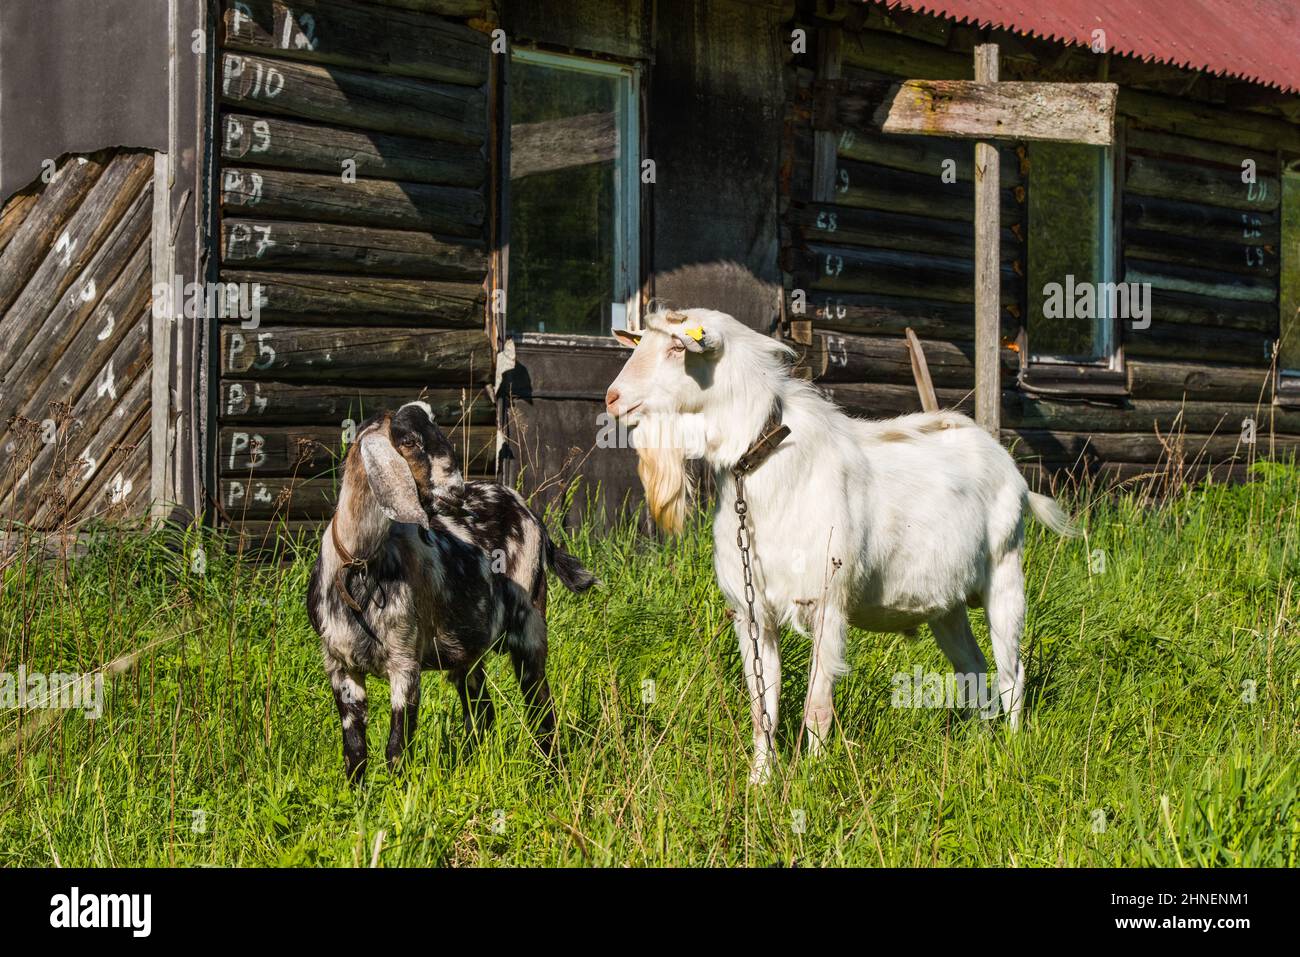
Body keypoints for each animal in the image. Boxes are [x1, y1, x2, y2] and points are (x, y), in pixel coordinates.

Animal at [306, 401, 597, 782]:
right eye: (409, 441)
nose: (458, 491)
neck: (360, 564)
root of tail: (526, 508)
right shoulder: (340, 665)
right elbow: (354, 752)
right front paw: (358, 796)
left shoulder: (405, 660)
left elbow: (396, 749)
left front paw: (398, 794)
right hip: (468, 651)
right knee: (482, 713)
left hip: (530, 626)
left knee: (540, 708)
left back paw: (549, 774)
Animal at [606, 309, 1078, 782]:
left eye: (676, 347)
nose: (612, 398)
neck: (766, 466)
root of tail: (1011, 470)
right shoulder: (751, 611)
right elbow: (762, 705)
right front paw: (760, 780)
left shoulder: (826, 604)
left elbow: (817, 705)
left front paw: (813, 777)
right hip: (948, 605)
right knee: (974, 668)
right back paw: (980, 743)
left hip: (1005, 573)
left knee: (1011, 672)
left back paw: (1011, 746)